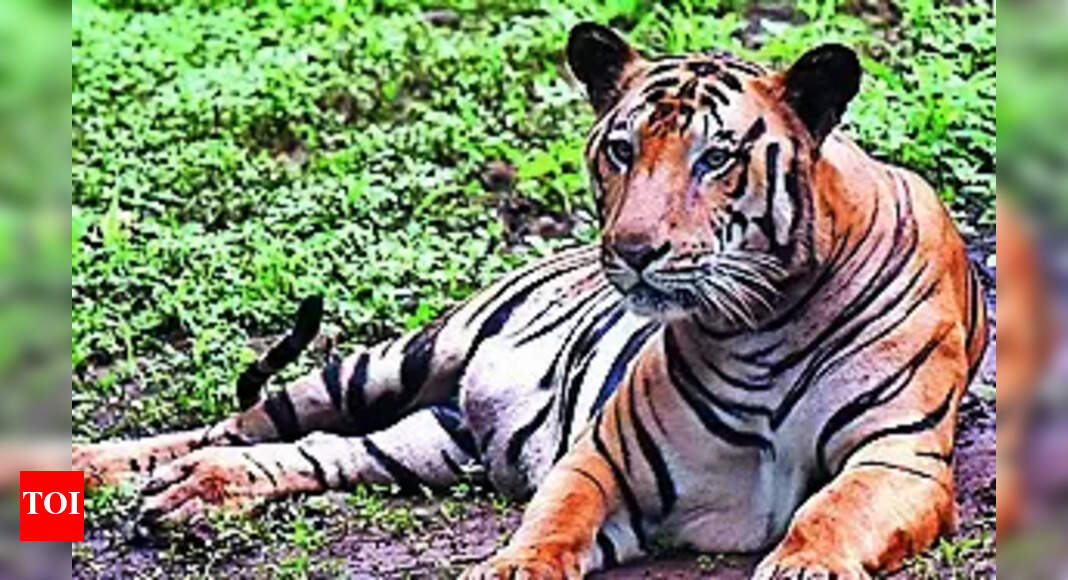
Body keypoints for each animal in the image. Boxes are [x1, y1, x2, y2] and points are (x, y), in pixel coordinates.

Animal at [73, 22, 988, 579]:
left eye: (716, 158)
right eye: (621, 150)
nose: (632, 251)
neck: (761, 323)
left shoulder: (896, 458)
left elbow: (832, 511)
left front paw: (803, 562)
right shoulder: (606, 454)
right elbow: (557, 516)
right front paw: (514, 564)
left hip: (425, 444)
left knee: (309, 451)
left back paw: (190, 495)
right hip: (396, 359)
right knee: (234, 425)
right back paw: (103, 467)